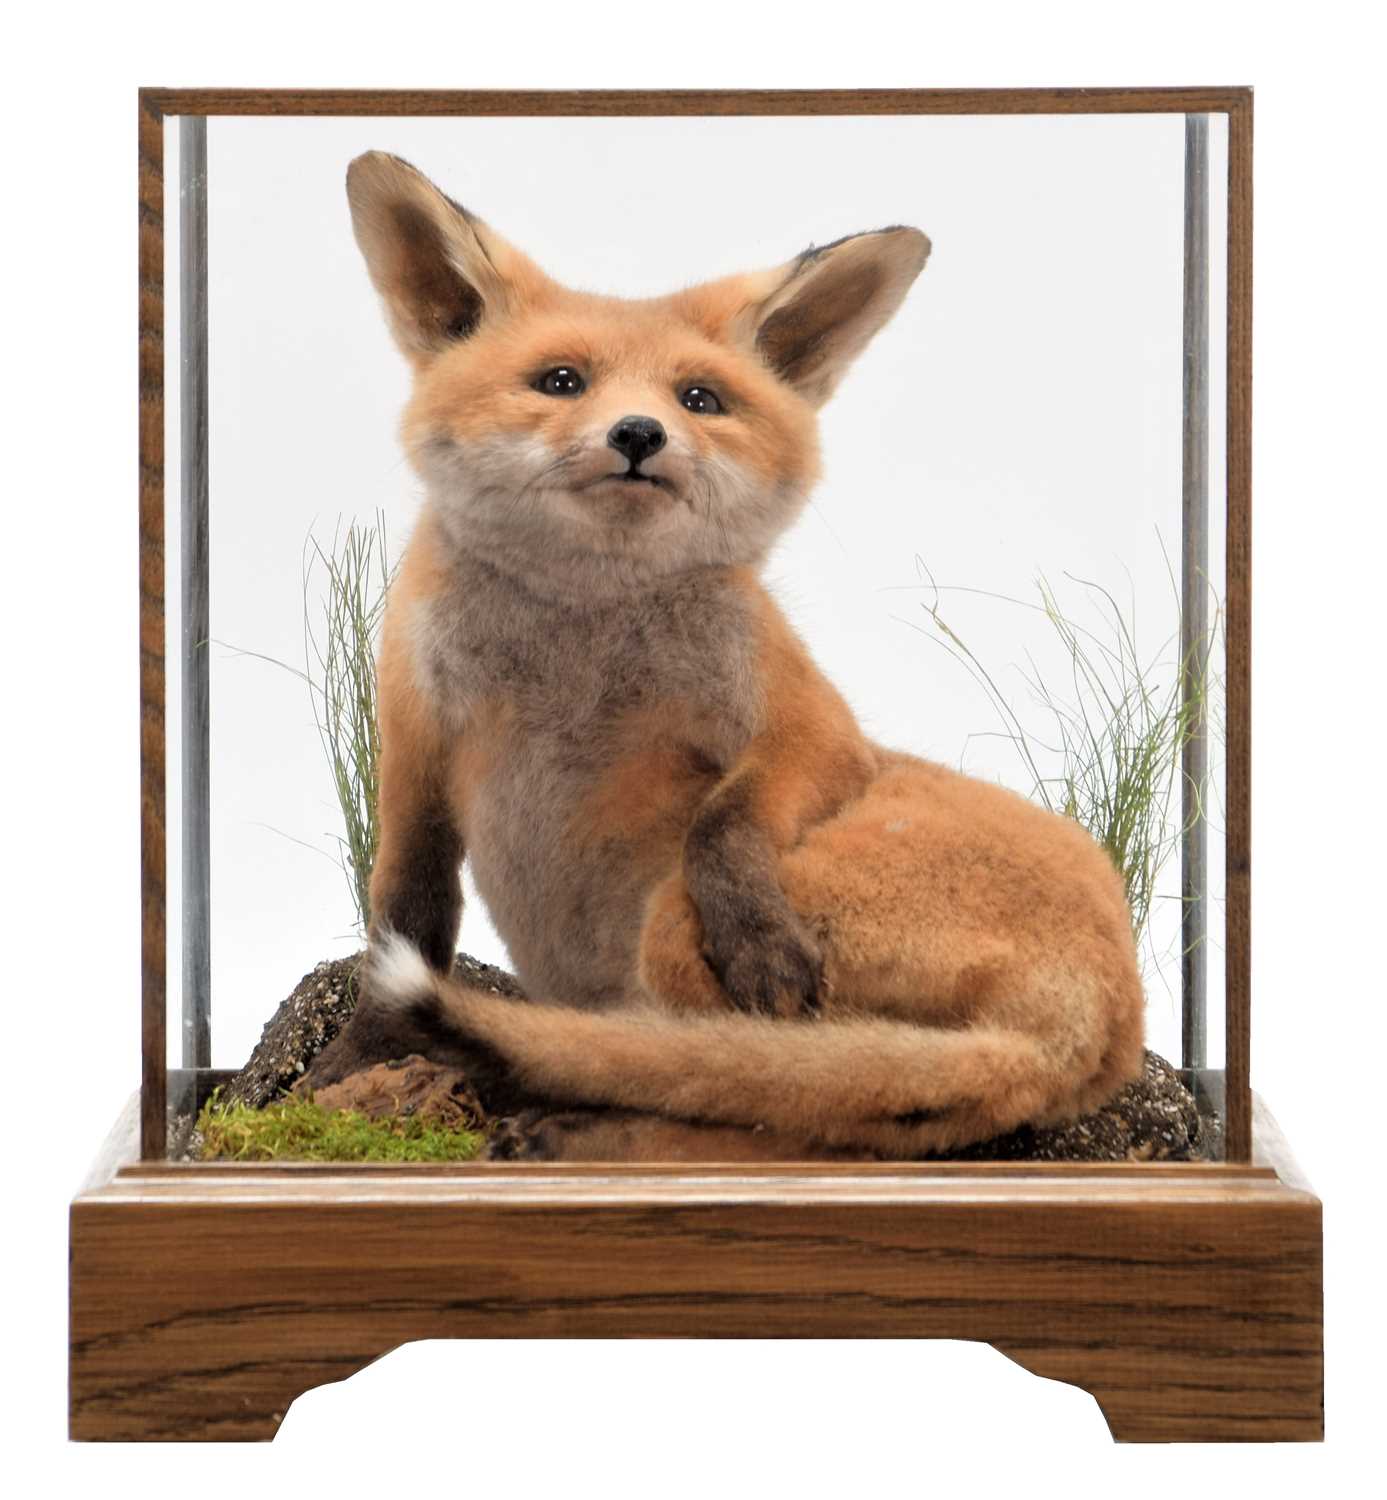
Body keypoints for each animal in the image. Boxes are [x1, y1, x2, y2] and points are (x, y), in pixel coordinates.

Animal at [303, 150, 1146, 1160]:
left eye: (698, 400)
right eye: (560, 381)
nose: (638, 434)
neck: (579, 631)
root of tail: (1107, 1013)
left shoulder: (805, 716)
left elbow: (727, 819)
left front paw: (752, 931)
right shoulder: (415, 737)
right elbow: (405, 901)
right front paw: (360, 1055)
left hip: (671, 925)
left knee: (768, 1102)